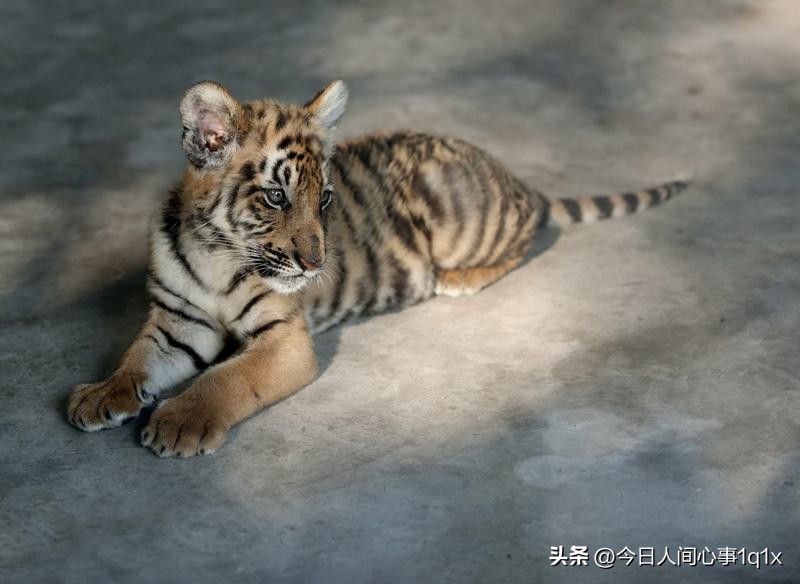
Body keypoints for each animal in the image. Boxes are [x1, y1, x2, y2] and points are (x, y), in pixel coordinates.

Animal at [67, 80, 689, 457]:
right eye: (275, 196)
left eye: (324, 199)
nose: (316, 263)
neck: (218, 253)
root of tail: (506, 172)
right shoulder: (178, 322)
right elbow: (136, 359)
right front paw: (101, 396)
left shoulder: (284, 339)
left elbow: (227, 377)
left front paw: (180, 423)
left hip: (462, 220)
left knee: (526, 232)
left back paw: (459, 280)